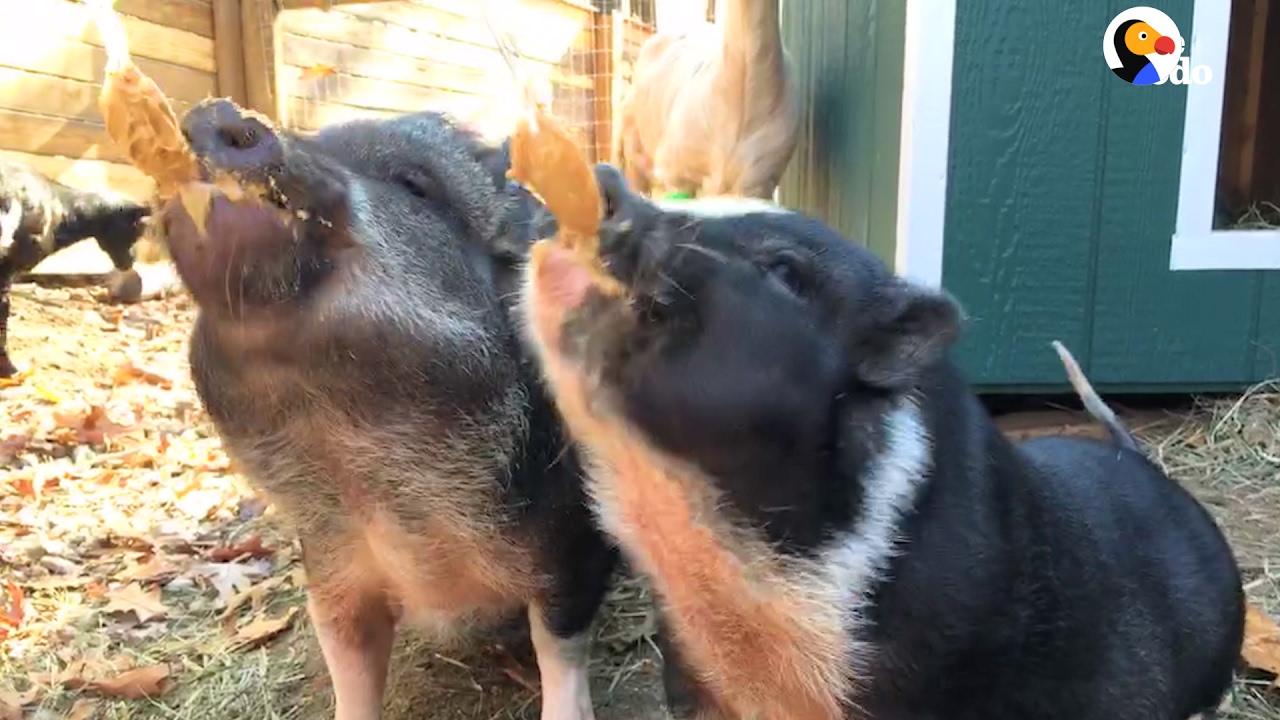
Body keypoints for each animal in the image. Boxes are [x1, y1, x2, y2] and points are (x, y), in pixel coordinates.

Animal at [160, 99, 617, 720]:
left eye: (414, 184)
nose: (217, 110)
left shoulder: (573, 544)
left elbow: (560, 649)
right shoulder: (331, 562)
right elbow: (349, 663)